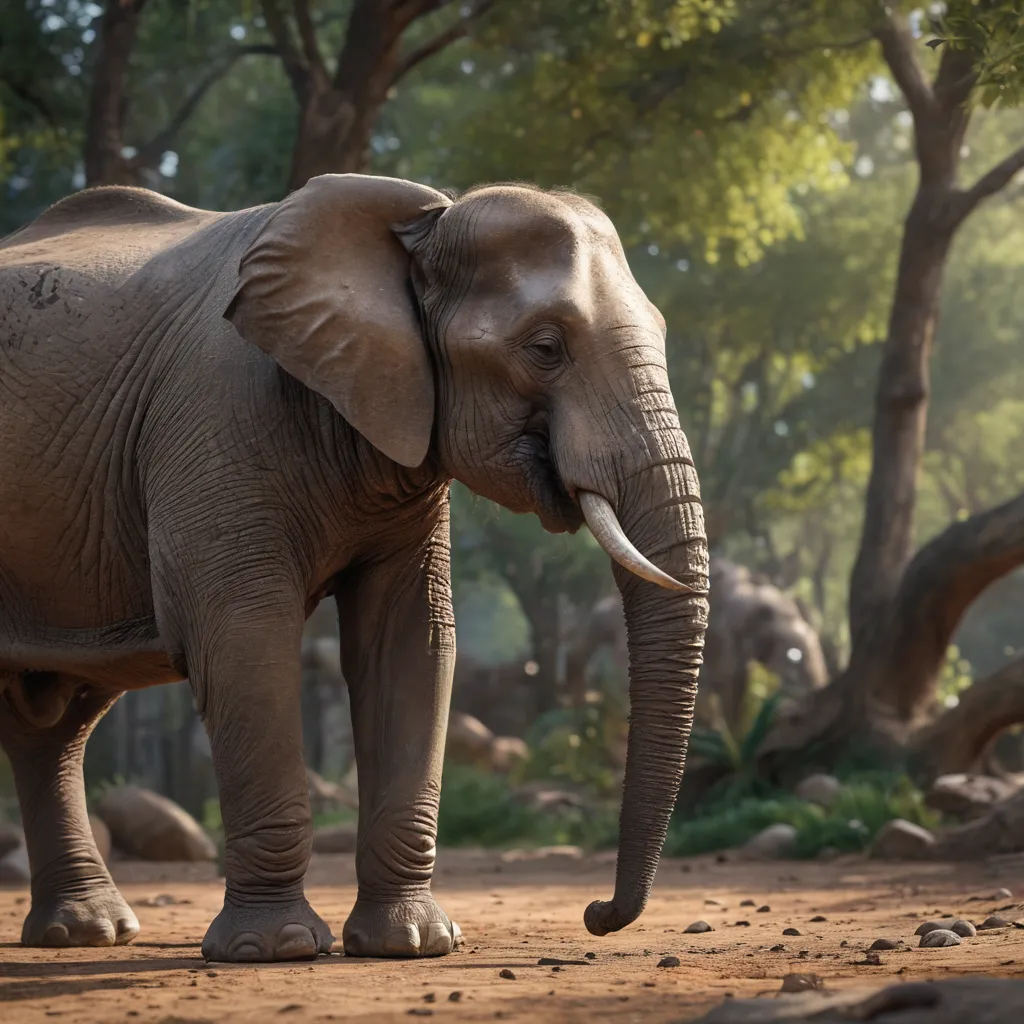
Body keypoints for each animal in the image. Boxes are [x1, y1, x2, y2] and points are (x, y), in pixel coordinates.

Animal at [0, 174, 709, 962]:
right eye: (546, 347)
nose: (594, 913)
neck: (421, 224)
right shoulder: (216, 418)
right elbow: (244, 633)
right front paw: (274, 949)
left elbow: (411, 641)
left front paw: (412, 944)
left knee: (54, 722)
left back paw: (85, 934)